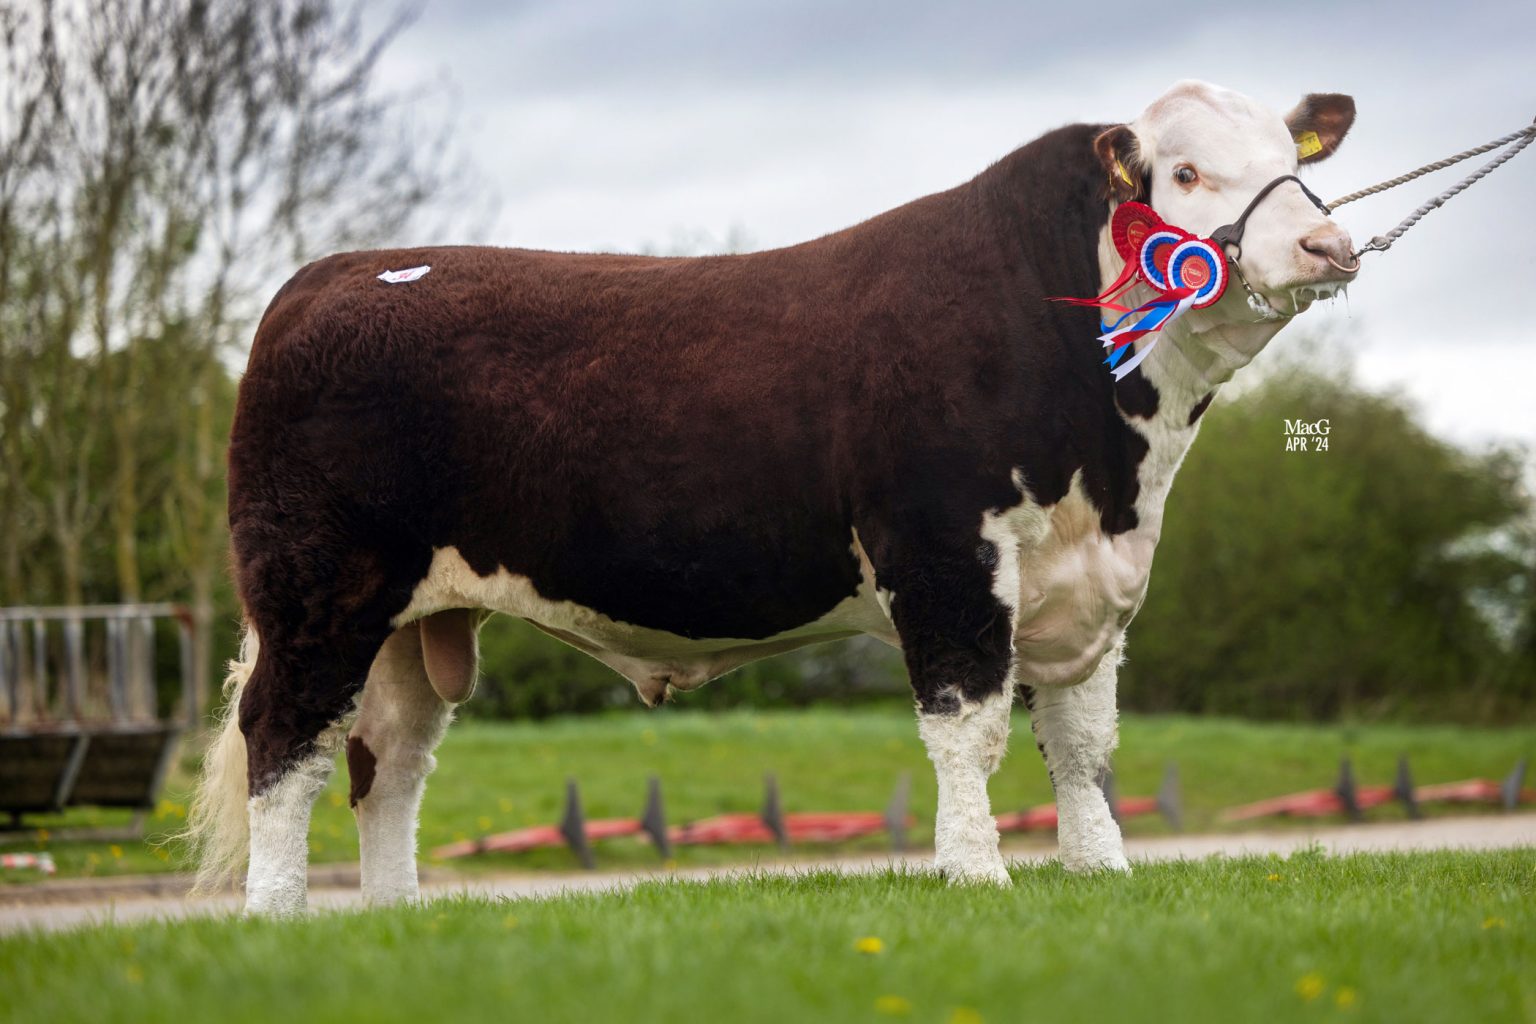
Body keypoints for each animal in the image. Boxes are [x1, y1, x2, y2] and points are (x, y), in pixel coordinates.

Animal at [186, 80, 1358, 916]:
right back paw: (279, 915)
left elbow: (1083, 744)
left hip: (408, 618)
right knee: (285, 737)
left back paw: (394, 917)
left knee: (387, 758)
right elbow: (969, 730)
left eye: (1293, 167)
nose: (1325, 243)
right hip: (318, 589)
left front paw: (1099, 870)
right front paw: (976, 874)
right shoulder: (944, 555)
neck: (1119, 471)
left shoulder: (1087, 581)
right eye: (1188, 172)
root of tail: (331, 276)